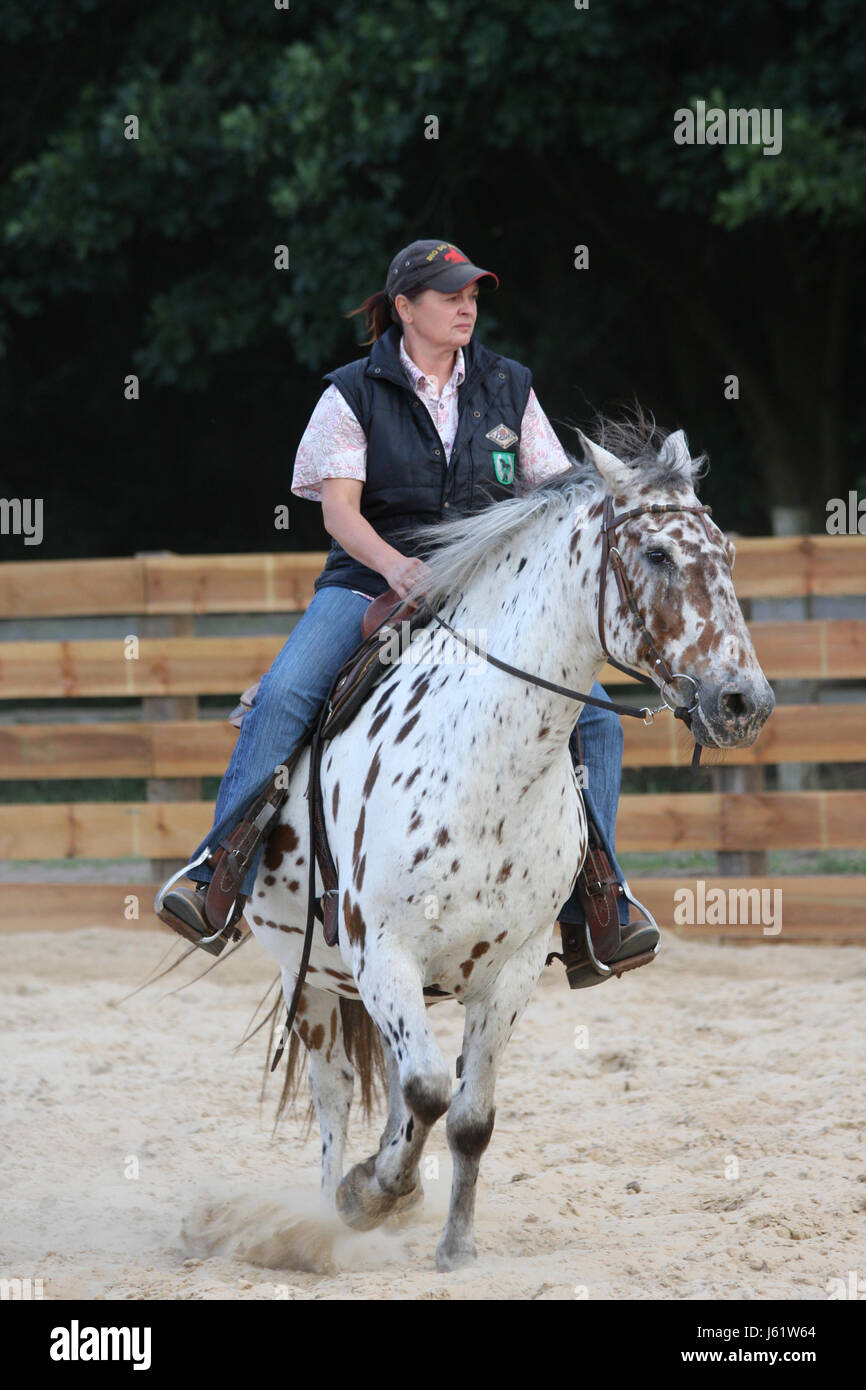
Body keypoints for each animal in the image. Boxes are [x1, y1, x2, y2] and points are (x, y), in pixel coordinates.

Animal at [246, 416, 774, 1270]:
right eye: (657, 555)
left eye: (725, 553)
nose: (742, 701)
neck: (480, 765)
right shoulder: (380, 949)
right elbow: (427, 1090)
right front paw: (368, 1194)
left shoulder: (512, 969)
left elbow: (466, 1116)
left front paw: (454, 1247)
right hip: (314, 978)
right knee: (335, 1093)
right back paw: (329, 1215)